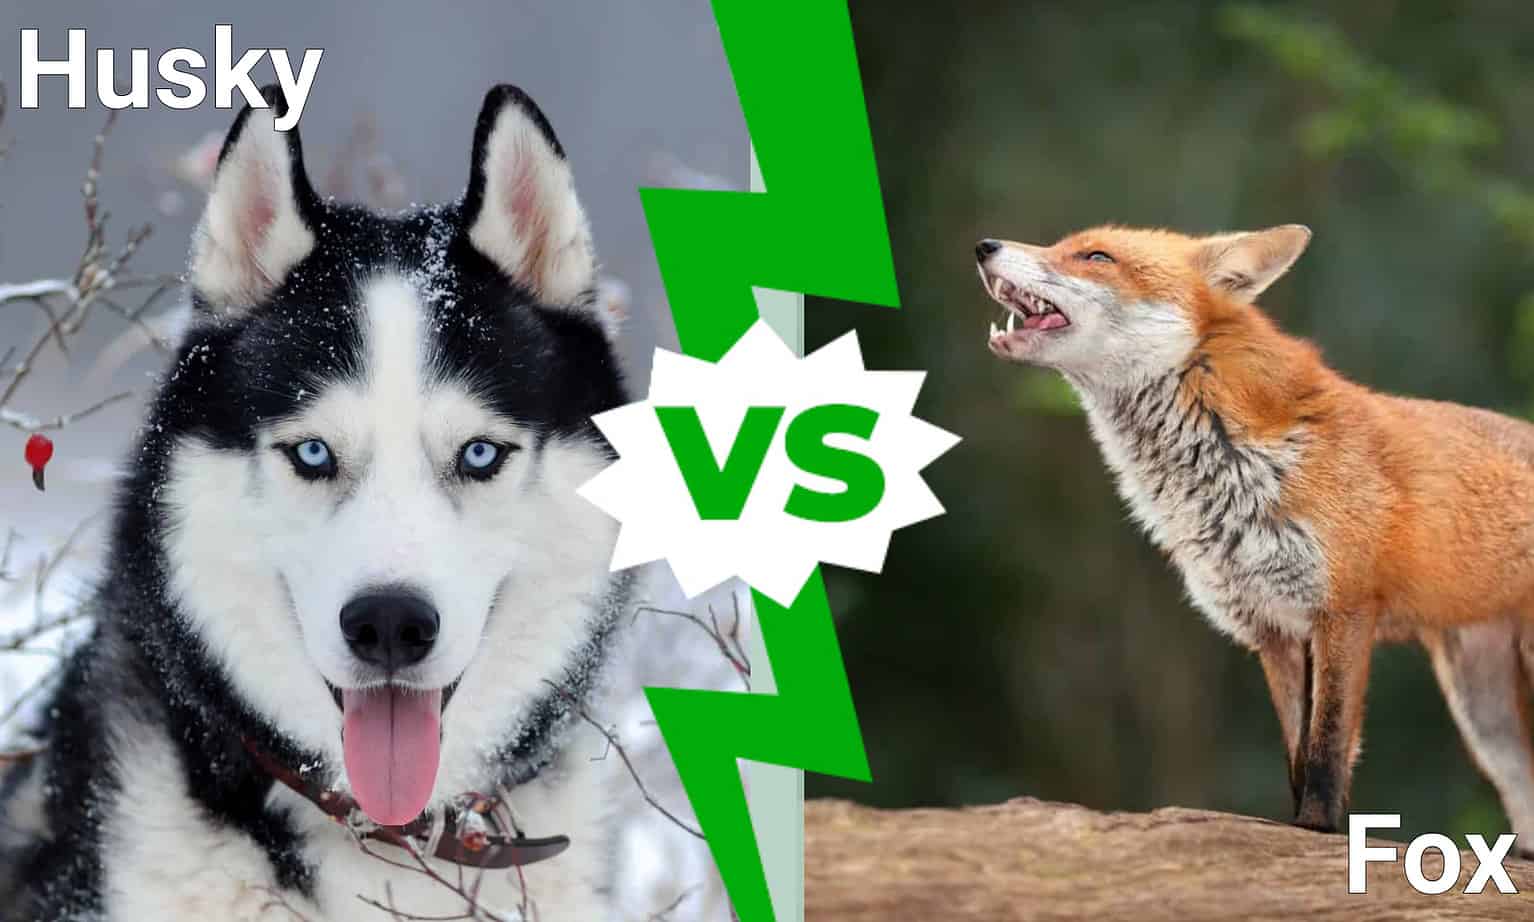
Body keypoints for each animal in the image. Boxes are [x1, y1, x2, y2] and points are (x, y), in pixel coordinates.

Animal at [975, 223, 1534, 844]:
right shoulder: (1272, 629)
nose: (984, 247)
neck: (1239, 465)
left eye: (1097, 256)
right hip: (1485, 711)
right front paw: (1295, 832)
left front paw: (1318, 830)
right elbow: (1297, 752)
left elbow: (1326, 749)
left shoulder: (1343, 612)